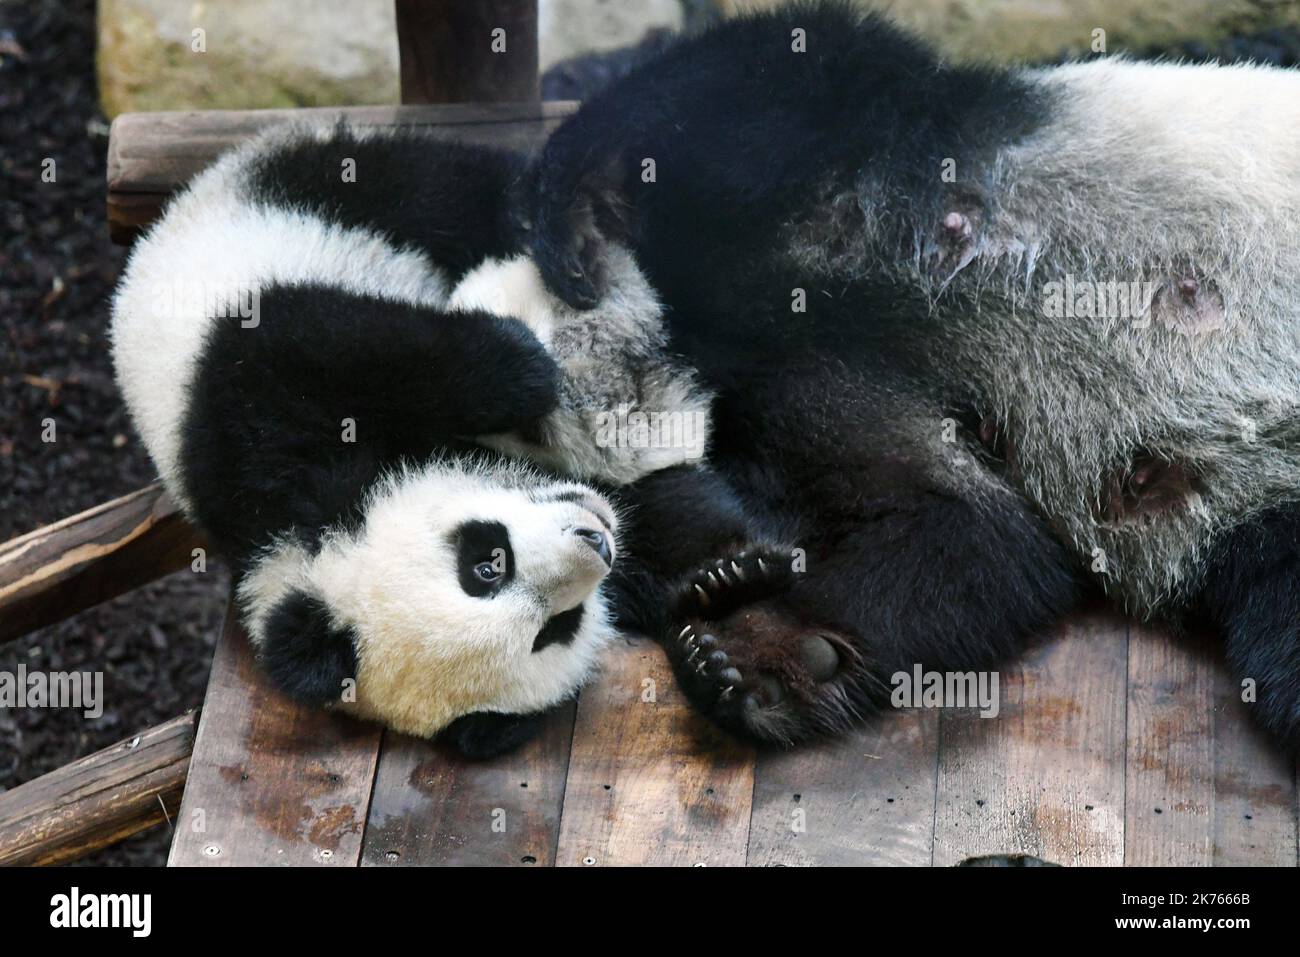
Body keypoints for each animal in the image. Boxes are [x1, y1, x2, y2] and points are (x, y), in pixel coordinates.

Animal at [110, 123, 709, 757]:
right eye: (553, 630)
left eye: (485, 564)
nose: (596, 542)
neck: (294, 537)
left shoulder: (250, 417)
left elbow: (325, 350)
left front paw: (520, 366)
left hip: (315, 195)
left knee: (455, 193)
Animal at [520, 0, 1300, 749]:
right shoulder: (801, 378)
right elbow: (968, 526)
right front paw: (770, 651)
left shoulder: (838, 149)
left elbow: (759, 72)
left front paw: (572, 223)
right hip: (1259, 516)